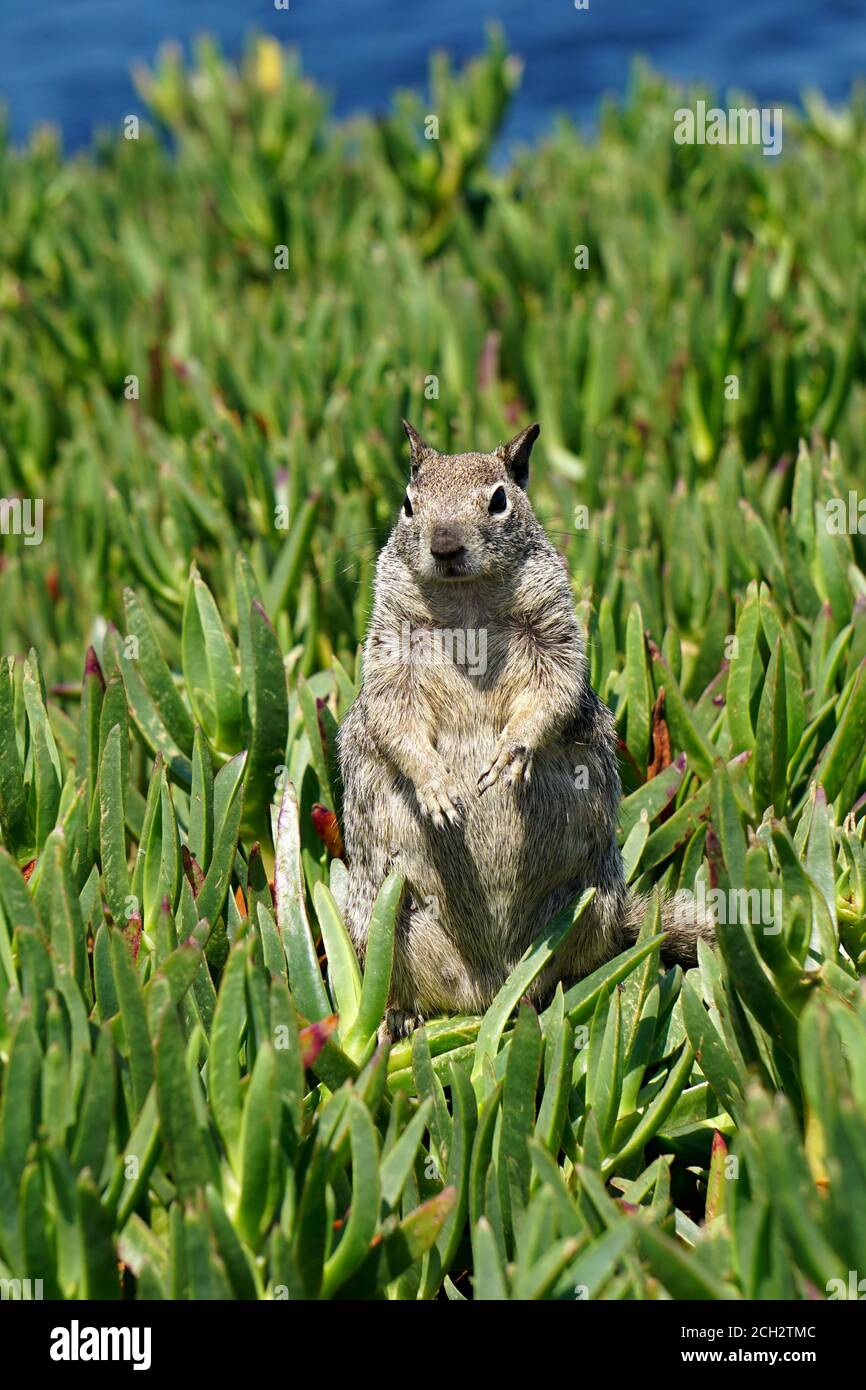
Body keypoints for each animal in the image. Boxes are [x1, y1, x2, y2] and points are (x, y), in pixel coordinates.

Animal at [337, 420, 714, 1037]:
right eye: (409, 503)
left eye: (498, 500)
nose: (445, 546)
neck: (465, 603)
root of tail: (485, 987)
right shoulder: (390, 653)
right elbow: (393, 719)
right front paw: (436, 786)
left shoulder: (553, 635)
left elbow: (554, 693)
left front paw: (512, 755)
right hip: (382, 923)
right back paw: (398, 1018)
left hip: (585, 904)